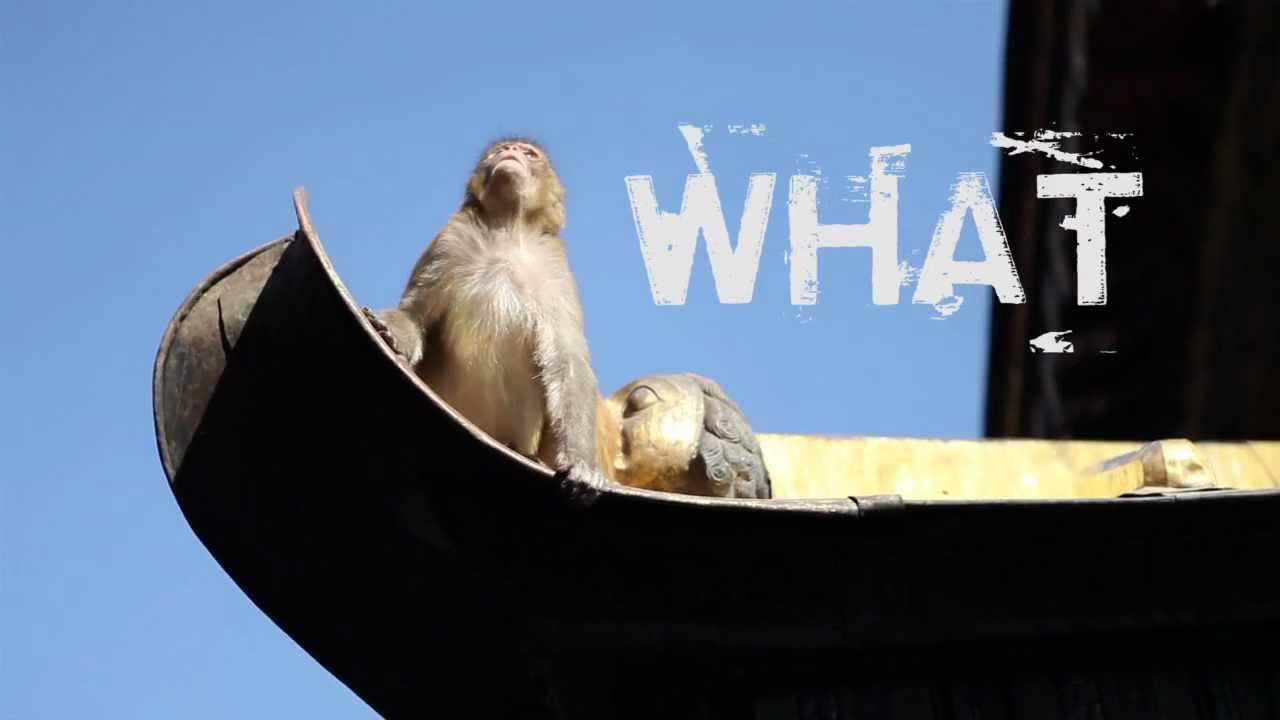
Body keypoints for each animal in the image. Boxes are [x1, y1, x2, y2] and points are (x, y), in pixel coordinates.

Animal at [363, 137, 612, 503]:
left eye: (529, 154)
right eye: (501, 150)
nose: (509, 152)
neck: (509, 228)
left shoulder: (555, 270)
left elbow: (566, 359)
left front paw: (580, 464)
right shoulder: (450, 240)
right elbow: (417, 314)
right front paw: (392, 330)